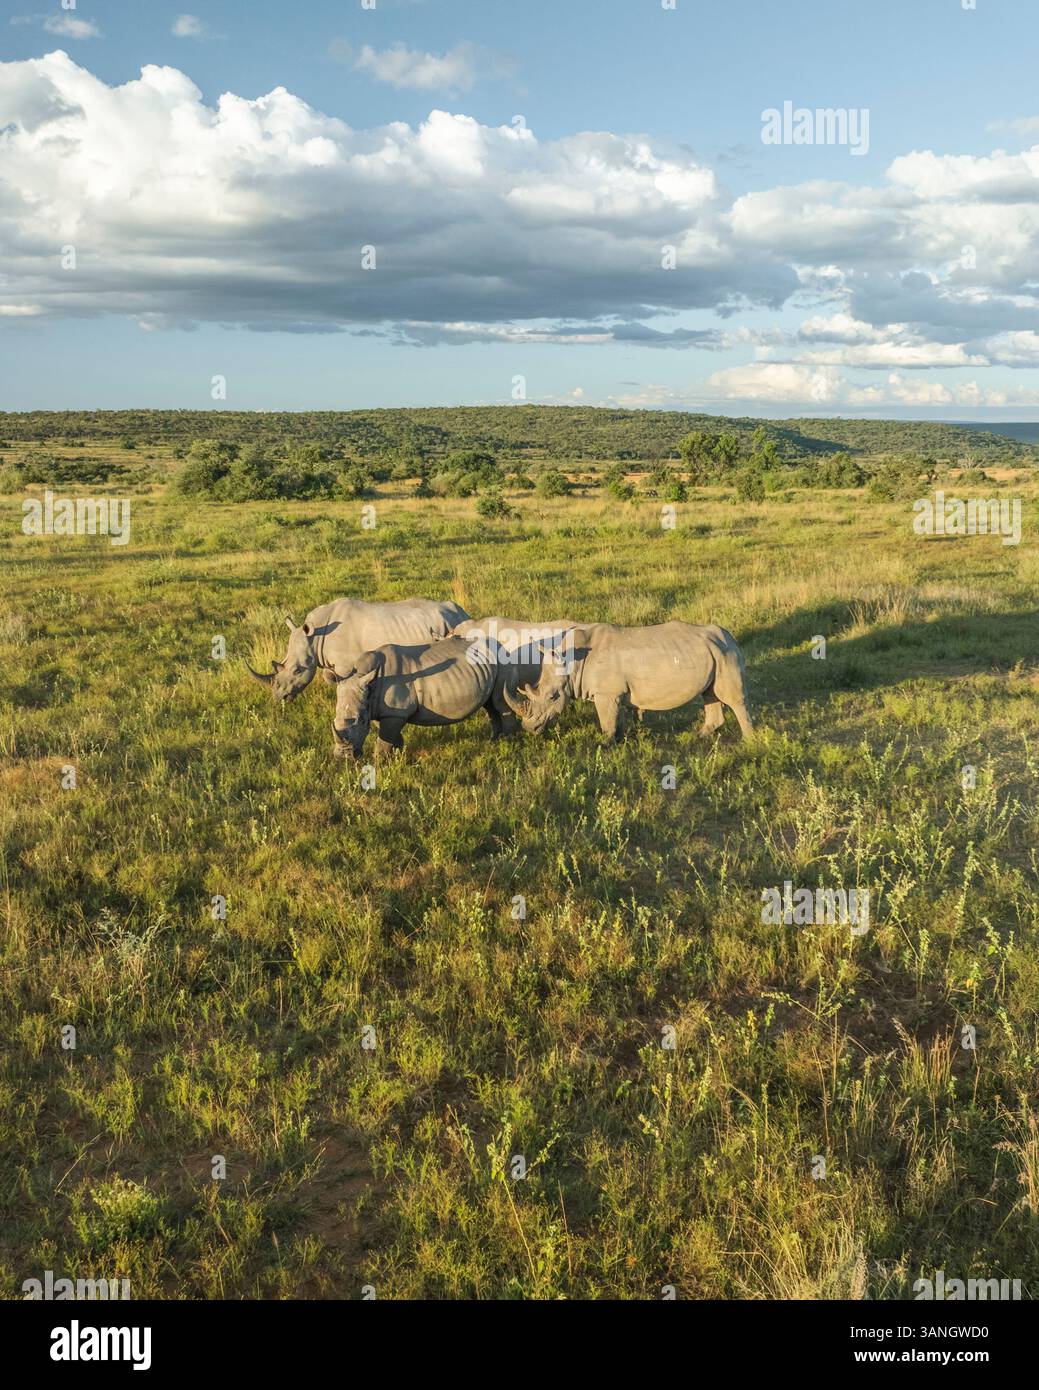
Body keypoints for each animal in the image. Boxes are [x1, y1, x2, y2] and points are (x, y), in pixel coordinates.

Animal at [246, 597, 469, 703]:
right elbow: (329, 677)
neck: (314, 637)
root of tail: (460, 610)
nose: (279, 698)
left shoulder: (345, 665)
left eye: (297, 670)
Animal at [331, 635, 496, 760]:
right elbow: (390, 736)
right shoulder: (381, 709)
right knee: (491, 706)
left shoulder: (395, 713)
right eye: (334, 719)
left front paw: (379, 762)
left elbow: (385, 738)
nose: (343, 757)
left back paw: (499, 742)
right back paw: (495, 740)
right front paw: (398, 755)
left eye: (362, 721)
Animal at [503, 621, 754, 742]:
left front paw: (603, 744)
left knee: (732, 698)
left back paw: (749, 741)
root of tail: (729, 636)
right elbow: (616, 718)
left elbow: (606, 721)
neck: (572, 663)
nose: (529, 728)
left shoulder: (605, 693)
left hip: (725, 653)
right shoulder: (614, 693)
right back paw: (699, 736)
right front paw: (620, 739)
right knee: (710, 693)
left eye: (553, 696)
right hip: (714, 652)